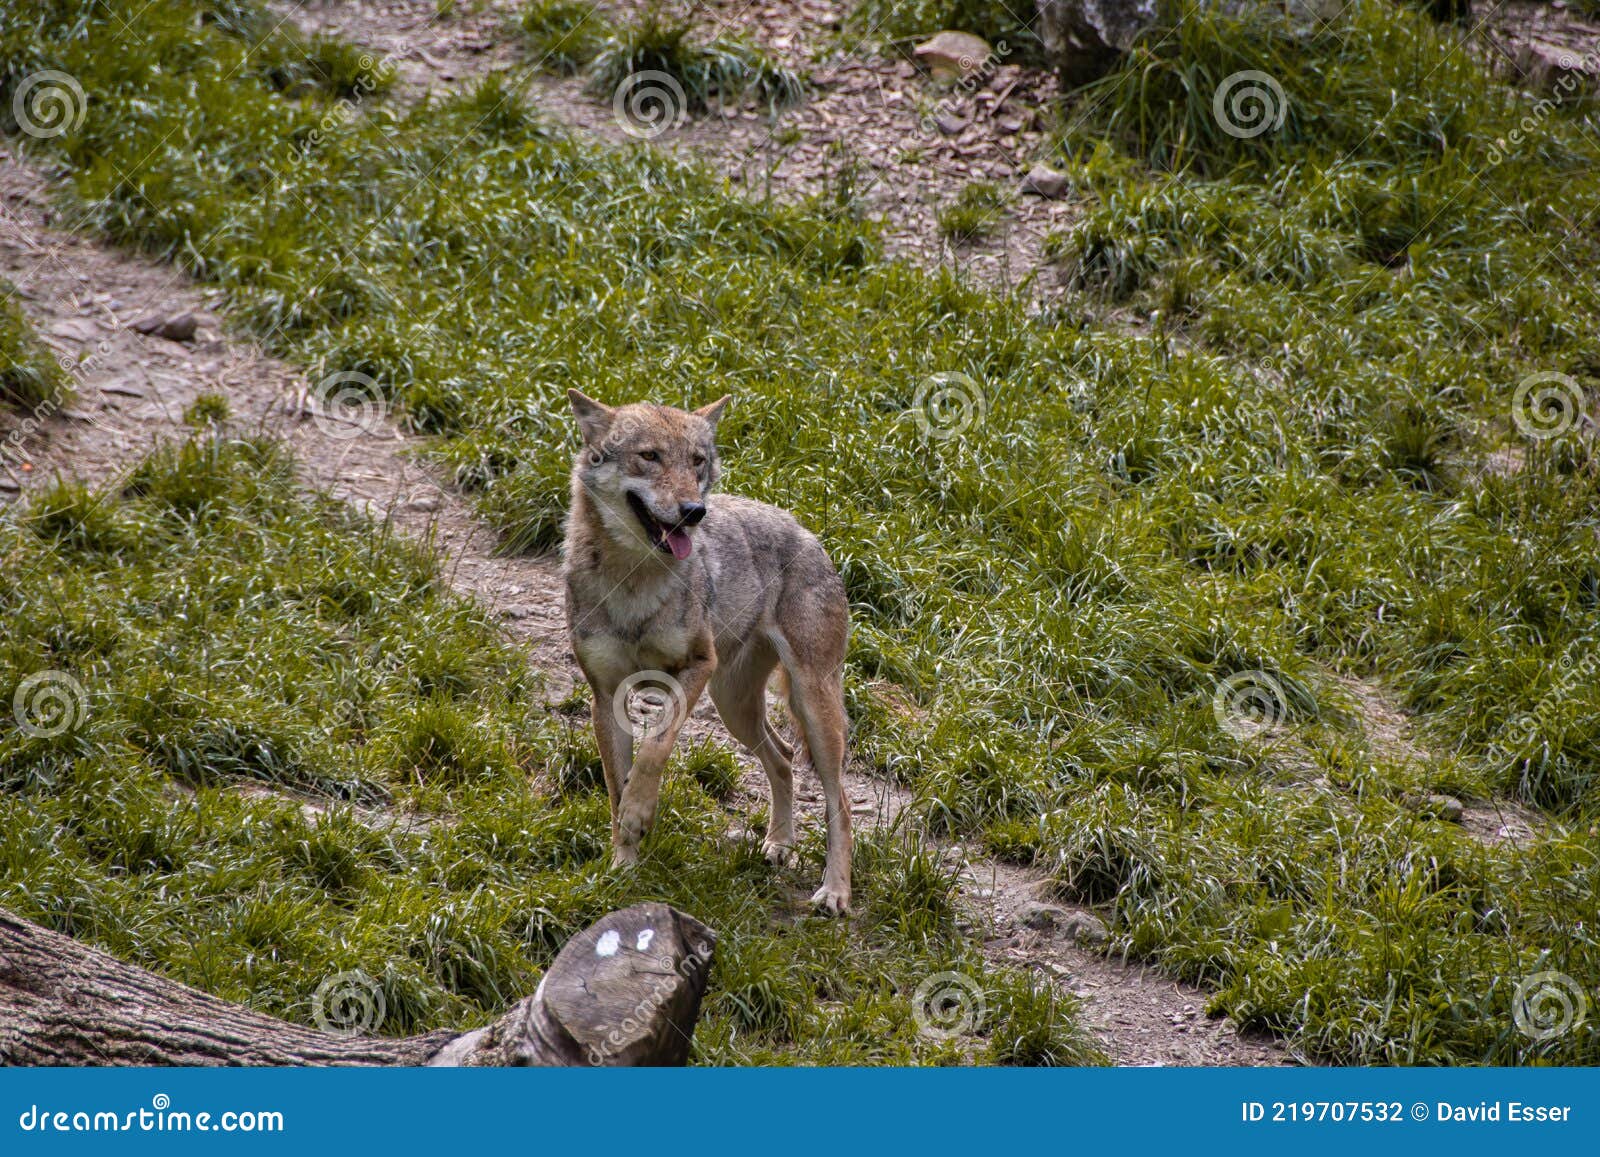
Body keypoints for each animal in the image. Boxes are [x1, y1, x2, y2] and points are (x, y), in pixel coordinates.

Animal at [561, 390, 853, 914]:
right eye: (650, 456)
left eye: (696, 461)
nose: (694, 510)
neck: (633, 580)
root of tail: (806, 530)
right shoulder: (605, 696)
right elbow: (615, 785)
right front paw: (622, 867)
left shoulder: (697, 666)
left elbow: (654, 750)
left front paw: (639, 812)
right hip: (735, 708)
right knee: (782, 757)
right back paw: (778, 845)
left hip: (813, 711)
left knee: (839, 803)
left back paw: (835, 892)